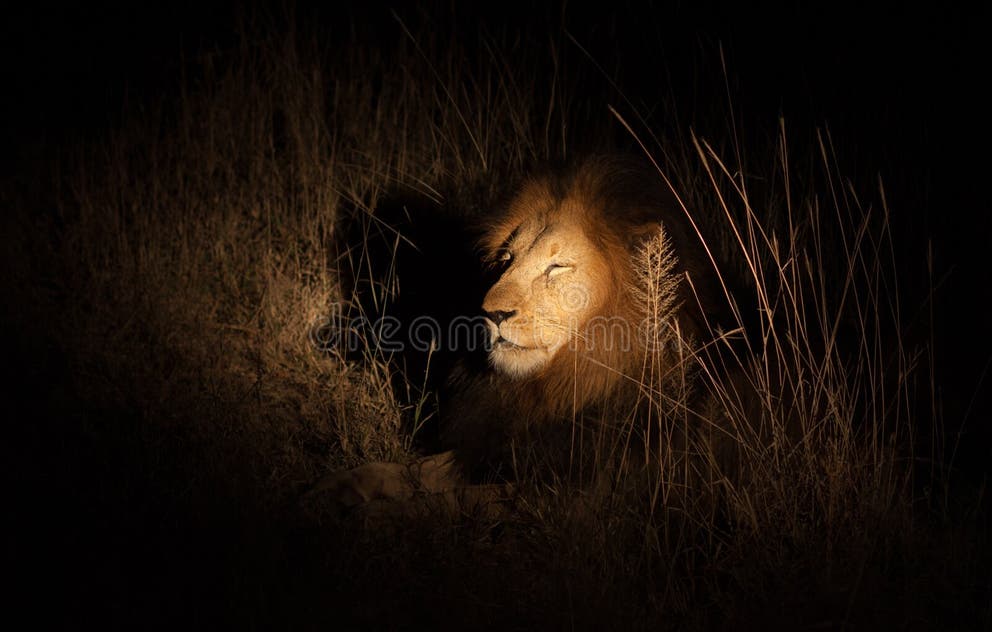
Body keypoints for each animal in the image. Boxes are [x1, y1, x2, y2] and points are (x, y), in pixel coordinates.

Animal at [312, 156, 740, 514]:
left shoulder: (578, 495)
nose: (492, 313)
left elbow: (446, 502)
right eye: (506, 260)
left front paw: (371, 516)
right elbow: (408, 471)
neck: (561, 383)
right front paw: (332, 489)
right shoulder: (502, 444)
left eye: (557, 267)